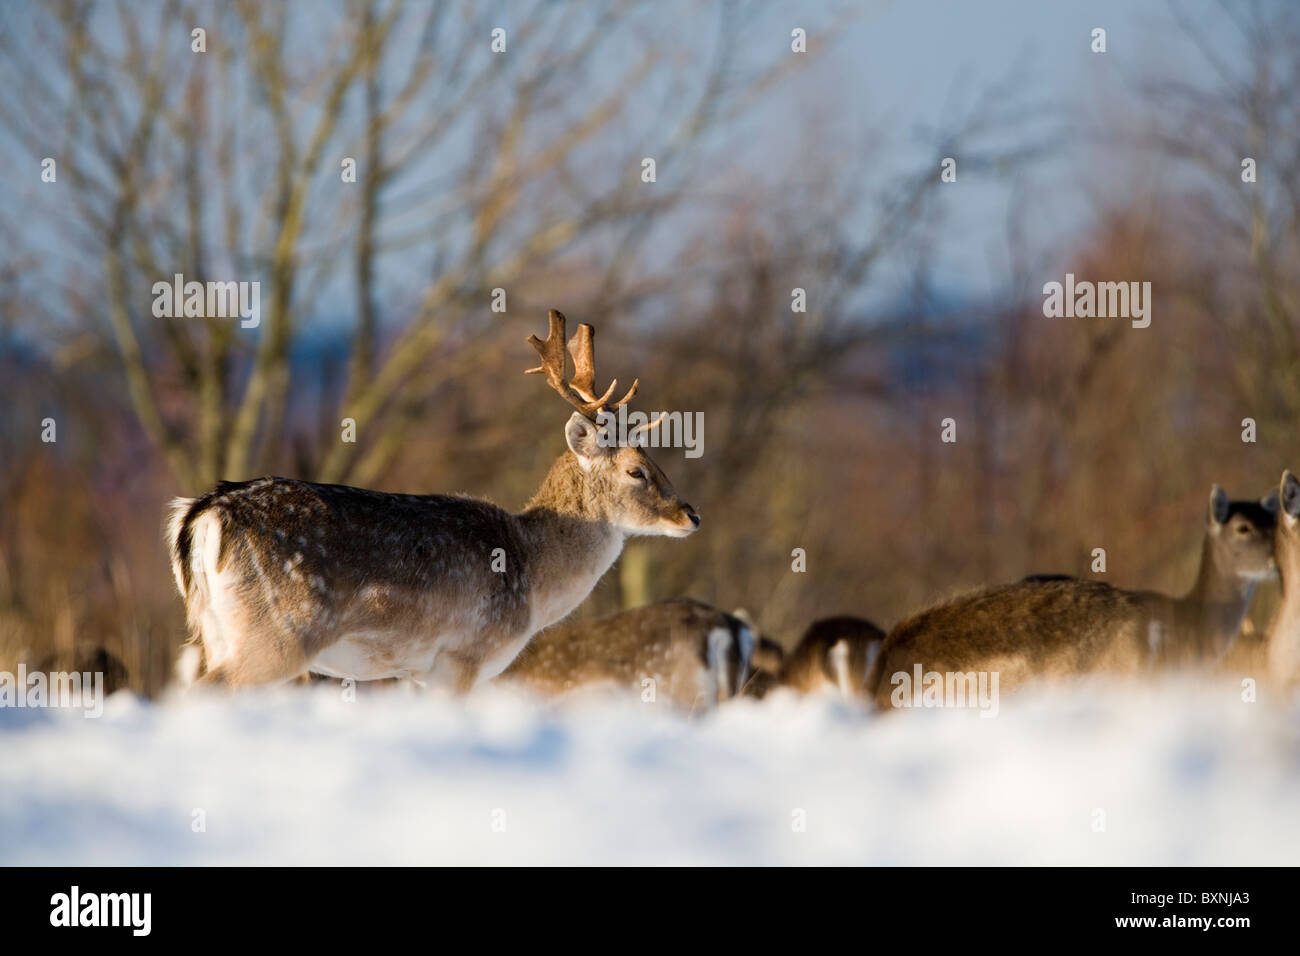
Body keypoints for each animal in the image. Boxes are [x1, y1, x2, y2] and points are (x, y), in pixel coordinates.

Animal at [166, 309, 700, 690]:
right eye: (635, 469)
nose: (691, 514)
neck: (533, 578)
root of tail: (202, 516)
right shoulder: (462, 656)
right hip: (278, 634)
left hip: (215, 632)